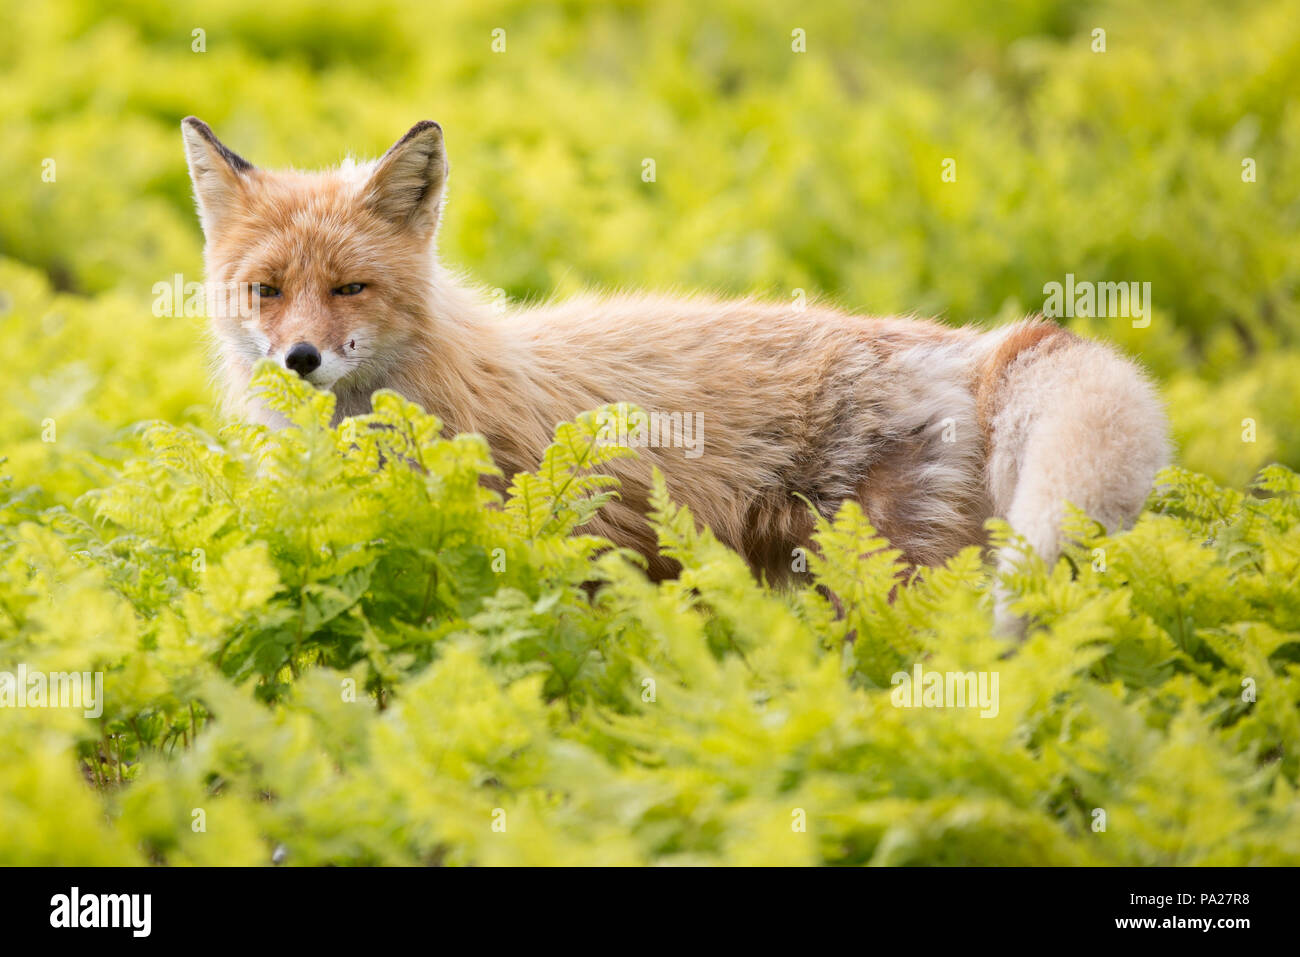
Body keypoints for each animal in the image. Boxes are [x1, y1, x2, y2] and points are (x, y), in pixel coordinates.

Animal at [181, 117, 1170, 632]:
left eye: (350, 288)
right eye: (267, 291)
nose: (299, 359)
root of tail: (974, 343)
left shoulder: (554, 554)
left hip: (891, 586)